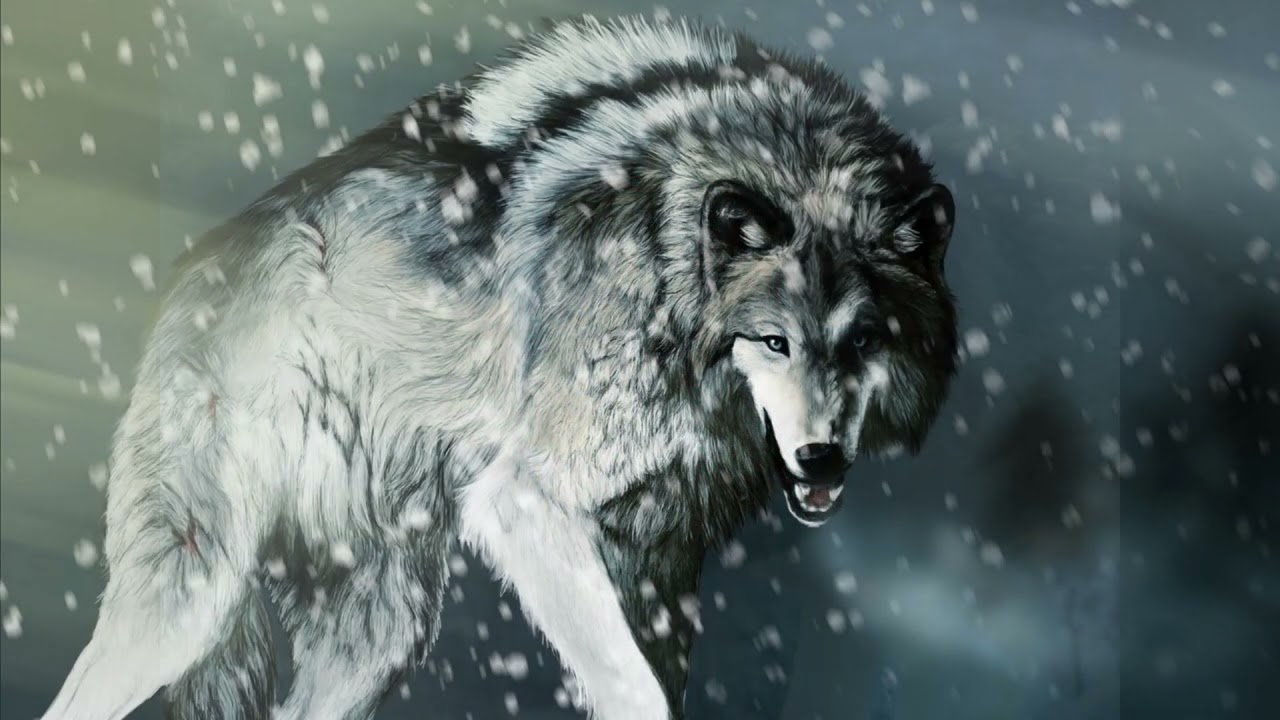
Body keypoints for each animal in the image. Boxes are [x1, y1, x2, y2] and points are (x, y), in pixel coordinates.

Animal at [42, 14, 959, 720]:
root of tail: (195, 267)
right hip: (191, 599)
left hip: (384, 632)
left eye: (864, 341)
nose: (821, 459)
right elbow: (634, 690)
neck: (669, 268)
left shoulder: (659, 565)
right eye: (774, 342)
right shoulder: (528, 501)